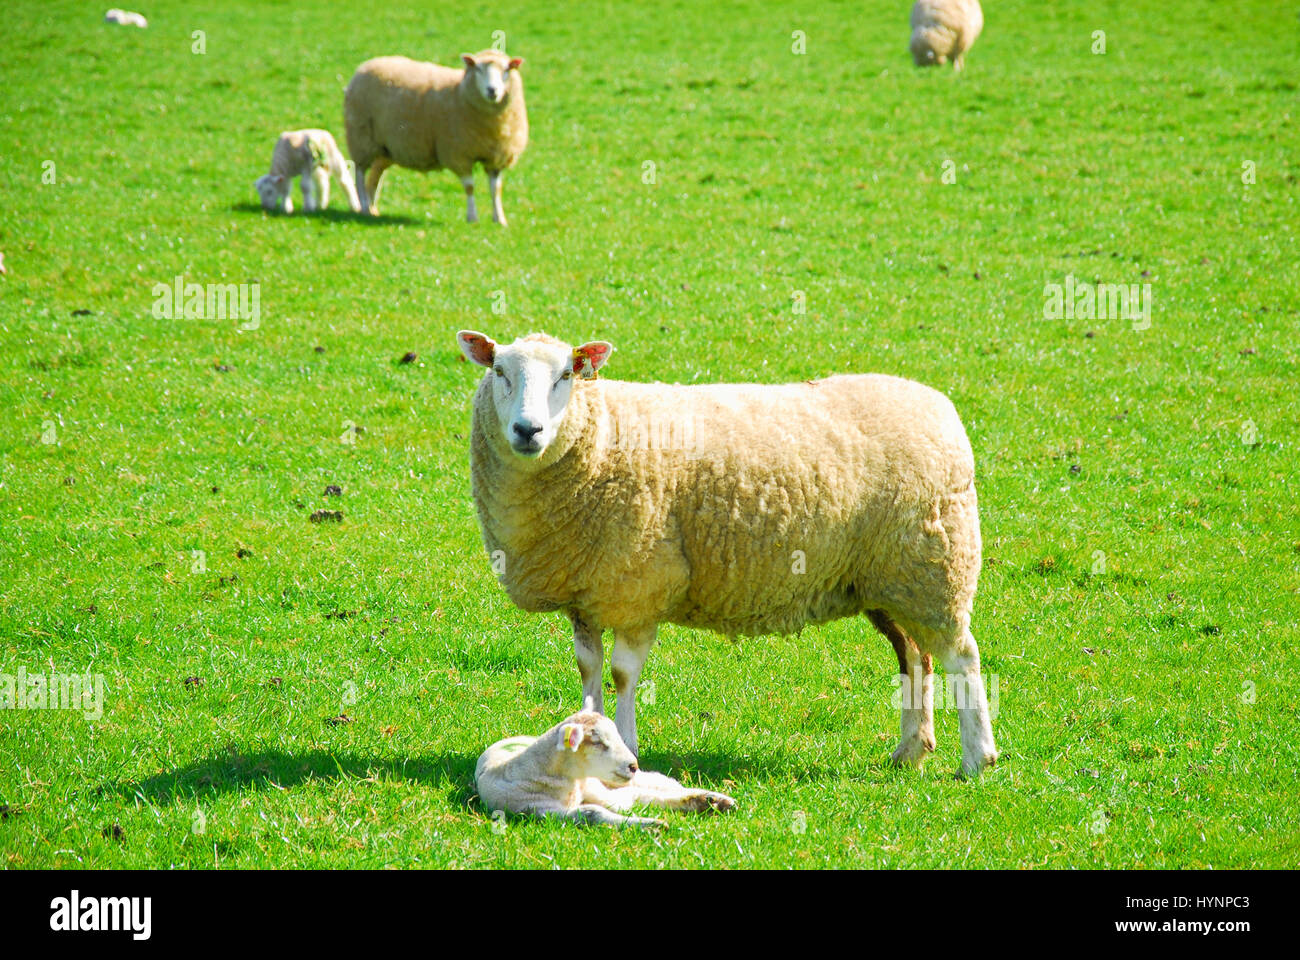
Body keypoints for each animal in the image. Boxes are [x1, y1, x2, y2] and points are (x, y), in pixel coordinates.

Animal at [343, 50, 527, 224]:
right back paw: (364, 206)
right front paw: (472, 218)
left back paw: (373, 209)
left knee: (375, 175)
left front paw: (500, 219)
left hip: (385, 148)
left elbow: (496, 190)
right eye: (478, 69)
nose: (492, 90)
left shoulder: (496, 157)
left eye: (506, 70)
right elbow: (470, 188)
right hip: (361, 138)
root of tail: (367, 64)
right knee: (360, 172)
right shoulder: (458, 154)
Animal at [457, 330, 1000, 778]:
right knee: (914, 656)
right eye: (499, 372)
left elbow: (622, 674)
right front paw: (589, 733)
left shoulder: (640, 584)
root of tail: (937, 405)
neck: (604, 435)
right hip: (887, 581)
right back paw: (910, 750)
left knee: (962, 656)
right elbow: (588, 669)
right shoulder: (586, 594)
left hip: (934, 566)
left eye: (565, 376)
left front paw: (629, 745)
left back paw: (977, 758)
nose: (528, 430)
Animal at [475, 697, 737, 828]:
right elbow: (593, 813)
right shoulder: (538, 810)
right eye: (598, 742)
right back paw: (707, 802)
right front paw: (649, 824)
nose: (632, 766)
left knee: (656, 786)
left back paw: (711, 798)